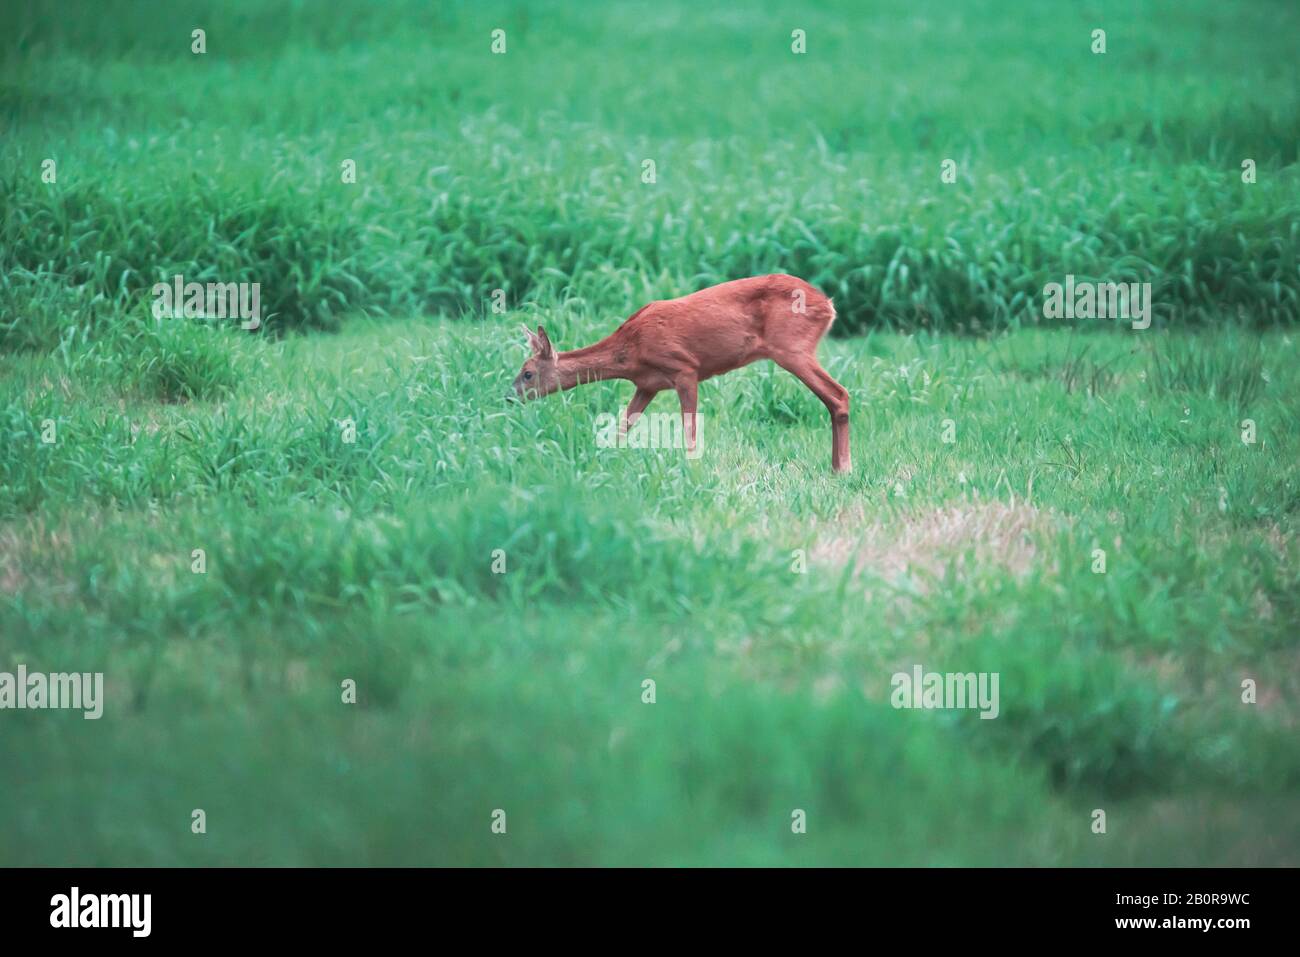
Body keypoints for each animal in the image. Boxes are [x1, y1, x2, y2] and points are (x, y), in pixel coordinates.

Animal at [510, 274, 851, 472]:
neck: (630, 350)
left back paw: (844, 468)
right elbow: (624, 425)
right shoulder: (646, 385)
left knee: (839, 395)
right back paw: (835, 467)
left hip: (792, 348)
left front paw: (692, 469)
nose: (509, 397)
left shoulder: (684, 368)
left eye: (527, 373)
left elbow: (689, 427)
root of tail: (828, 304)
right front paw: (603, 457)